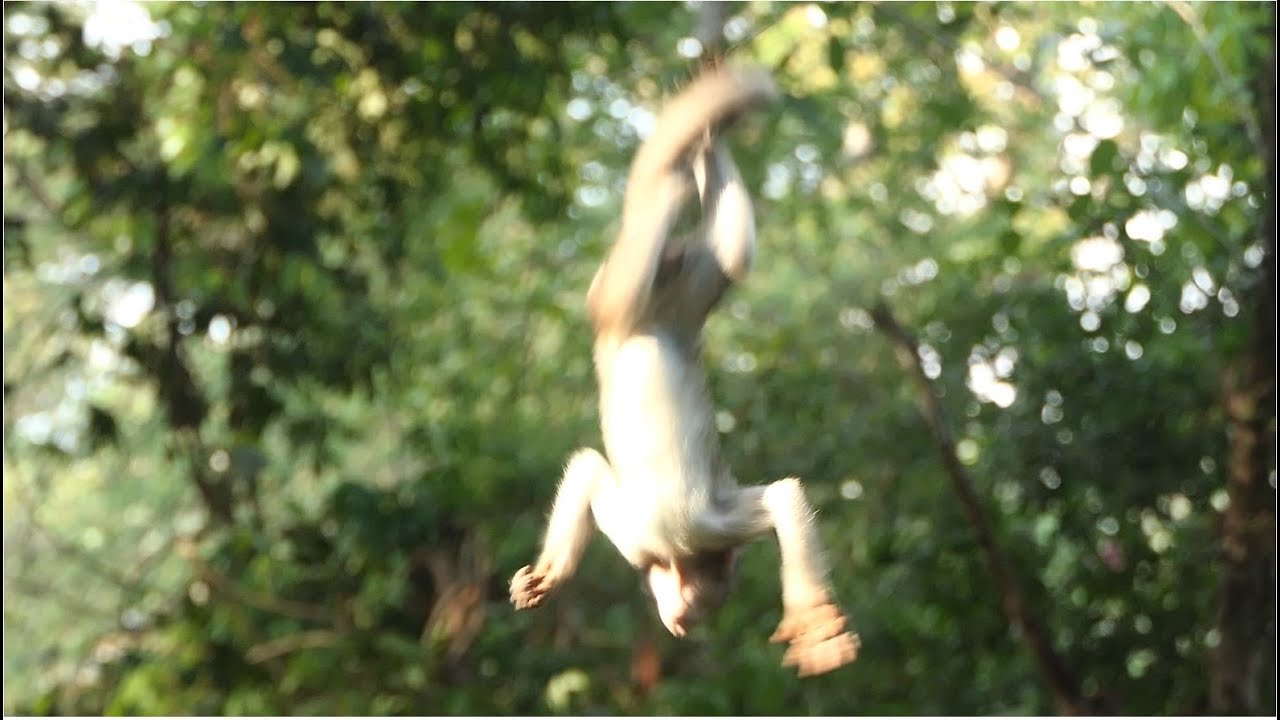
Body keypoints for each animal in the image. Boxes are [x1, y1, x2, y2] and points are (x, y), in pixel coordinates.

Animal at [510, 67, 860, 678]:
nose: (680, 624)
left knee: (731, 252)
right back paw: (675, 179)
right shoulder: (695, 531)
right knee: (647, 266)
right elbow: (784, 498)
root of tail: (665, 312)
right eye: (707, 602)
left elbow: (587, 469)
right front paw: (817, 625)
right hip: (628, 290)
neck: (670, 557)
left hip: (680, 286)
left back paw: (703, 145)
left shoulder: (639, 535)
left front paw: (549, 574)